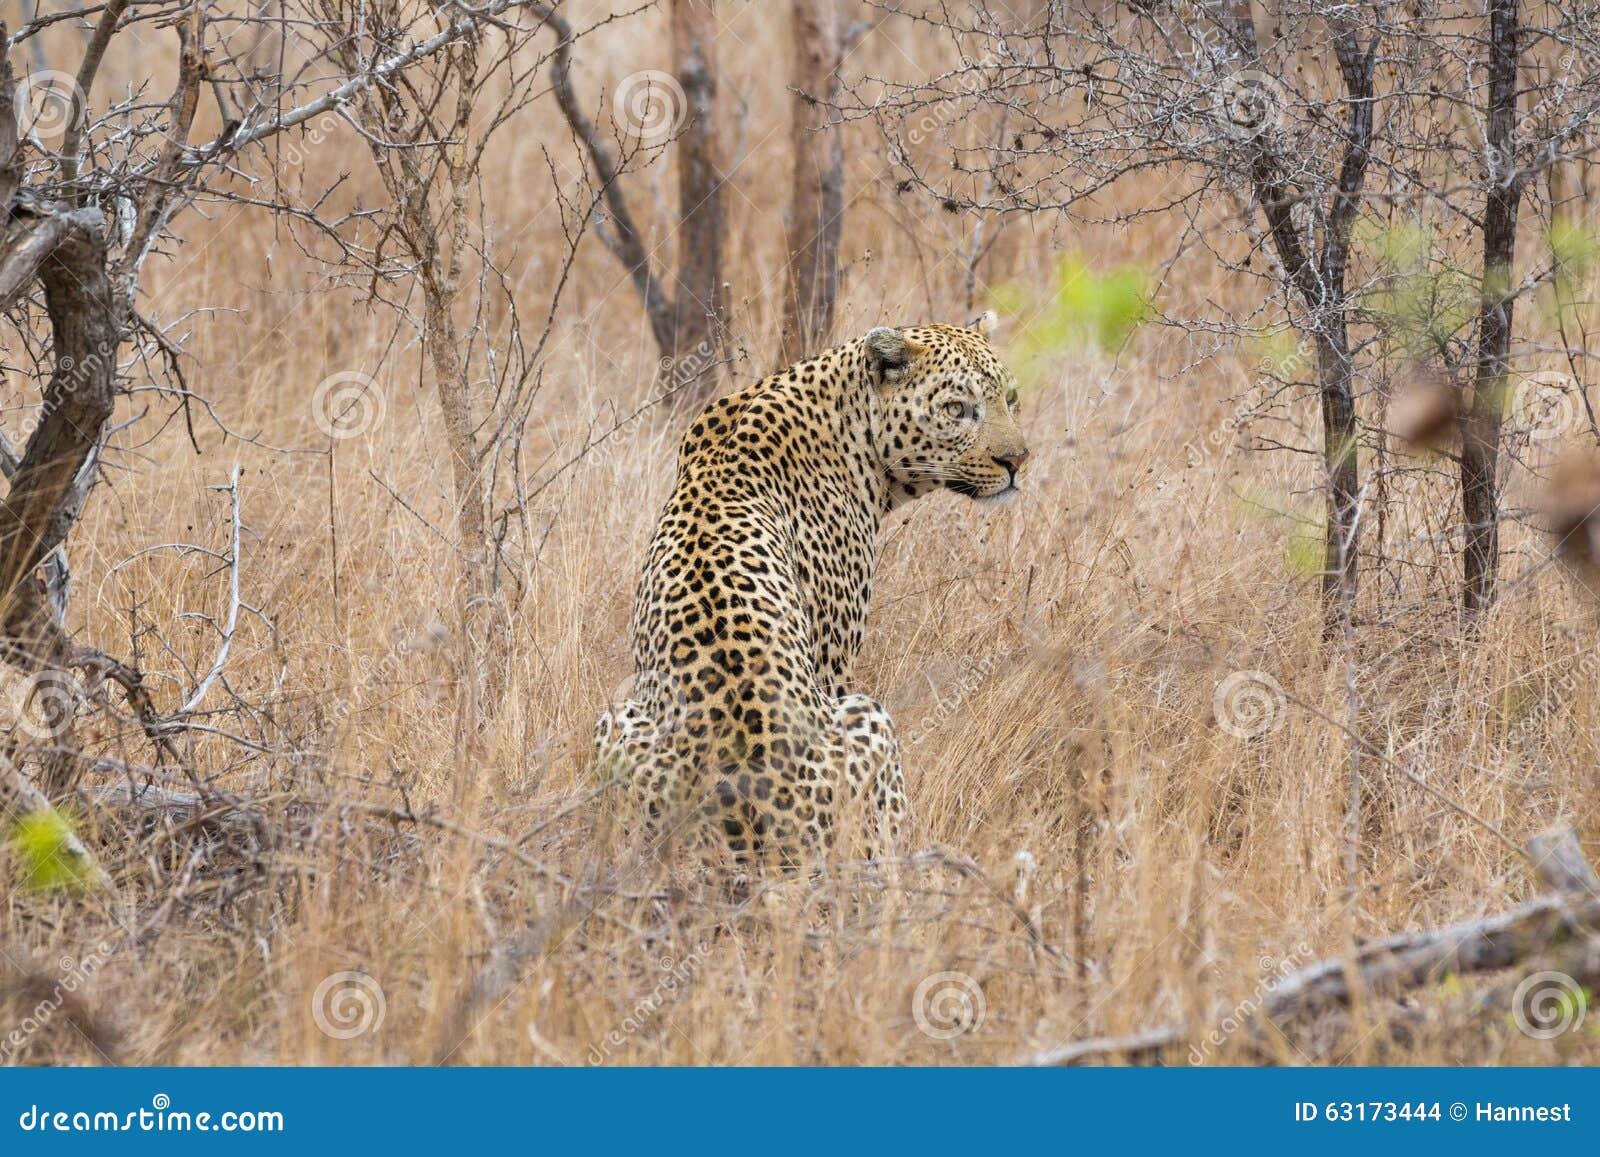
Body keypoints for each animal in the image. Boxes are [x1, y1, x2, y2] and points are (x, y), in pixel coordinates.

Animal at [593, 312, 1030, 869]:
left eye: (1010, 399)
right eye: (956, 409)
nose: (1018, 460)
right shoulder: (832, 662)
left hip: (615, 721)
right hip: (869, 718)